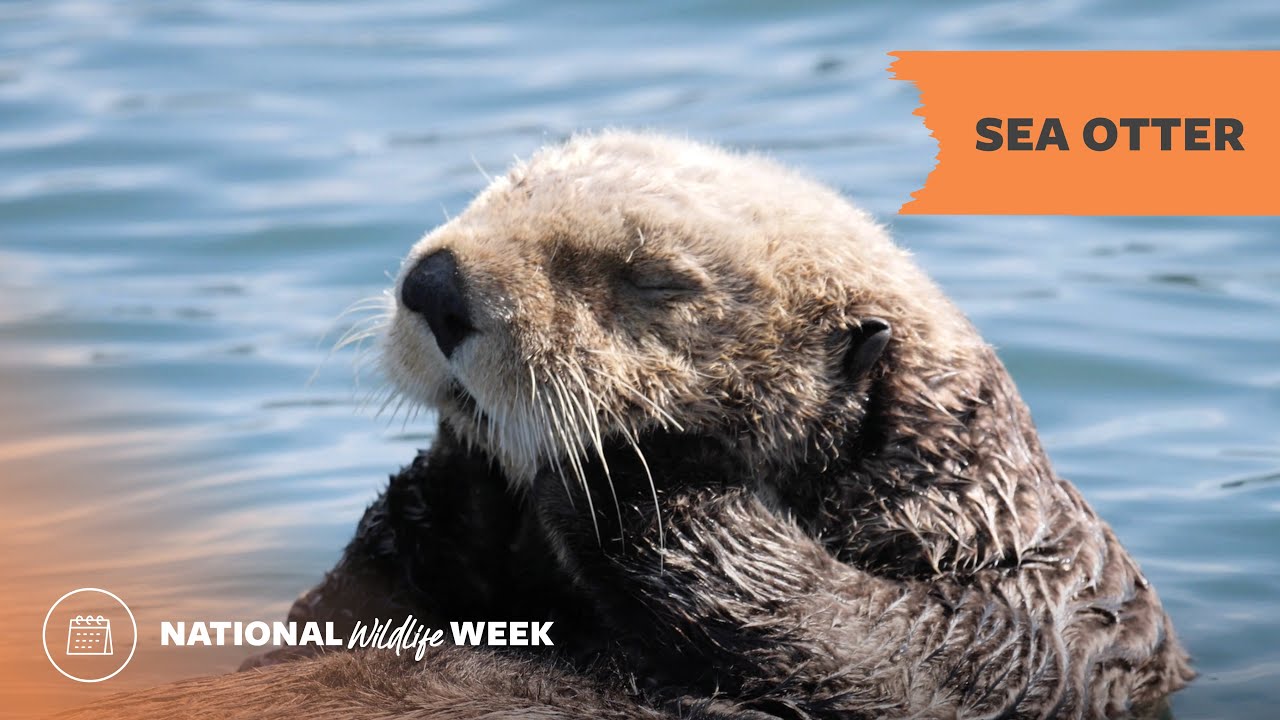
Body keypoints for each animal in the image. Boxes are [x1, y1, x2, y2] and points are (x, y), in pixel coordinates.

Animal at [67, 132, 1192, 720]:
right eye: (502, 189)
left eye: (657, 280)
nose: (435, 284)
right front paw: (458, 475)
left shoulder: (1022, 628)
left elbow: (874, 653)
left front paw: (627, 460)